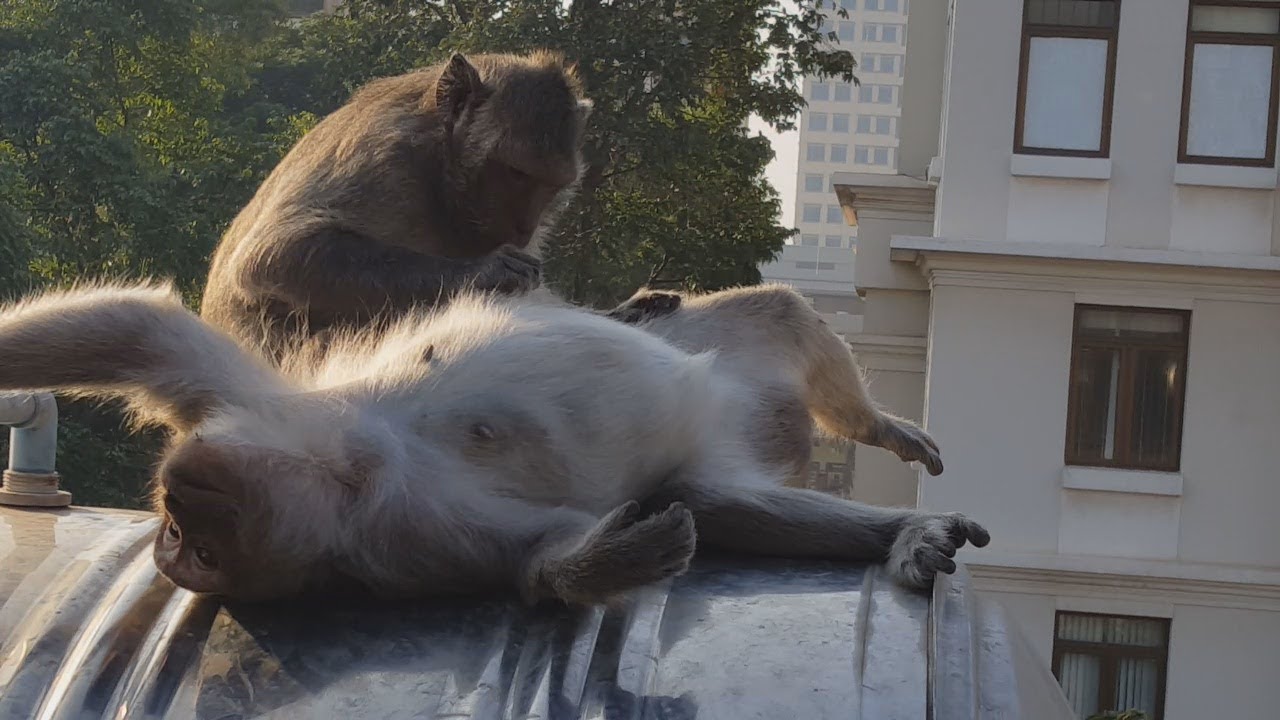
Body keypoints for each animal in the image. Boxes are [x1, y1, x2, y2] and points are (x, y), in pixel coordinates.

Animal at [0, 280, 986, 606]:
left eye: (183, 532)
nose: (171, 522)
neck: (355, 459)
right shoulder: (403, 535)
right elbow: (536, 560)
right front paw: (601, 566)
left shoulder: (260, 411)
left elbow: (139, 332)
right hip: (729, 432)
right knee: (712, 486)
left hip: (728, 361)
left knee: (771, 316)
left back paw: (874, 430)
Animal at [200, 50, 677, 362]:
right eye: (515, 172)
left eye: (550, 185)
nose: (524, 228)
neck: (441, 169)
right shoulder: (386, 160)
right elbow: (274, 257)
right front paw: (487, 272)